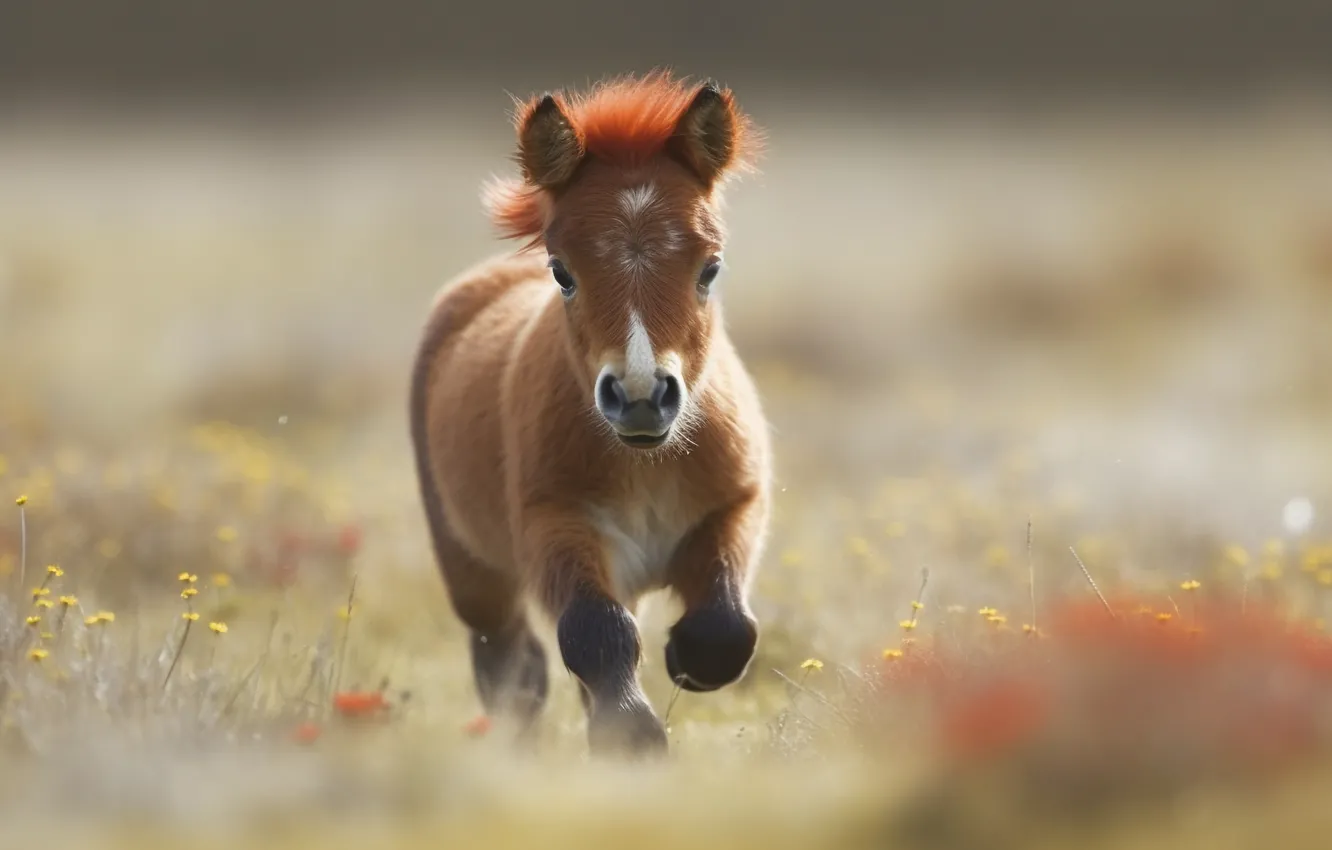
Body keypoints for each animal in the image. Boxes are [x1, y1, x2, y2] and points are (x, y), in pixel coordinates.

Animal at [409, 71, 772, 756]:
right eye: (563, 272)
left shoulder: (733, 507)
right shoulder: (554, 525)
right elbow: (595, 632)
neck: (646, 461)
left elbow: (725, 626)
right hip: (473, 572)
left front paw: (683, 660)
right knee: (511, 667)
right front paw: (631, 739)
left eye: (710, 268)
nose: (640, 394)